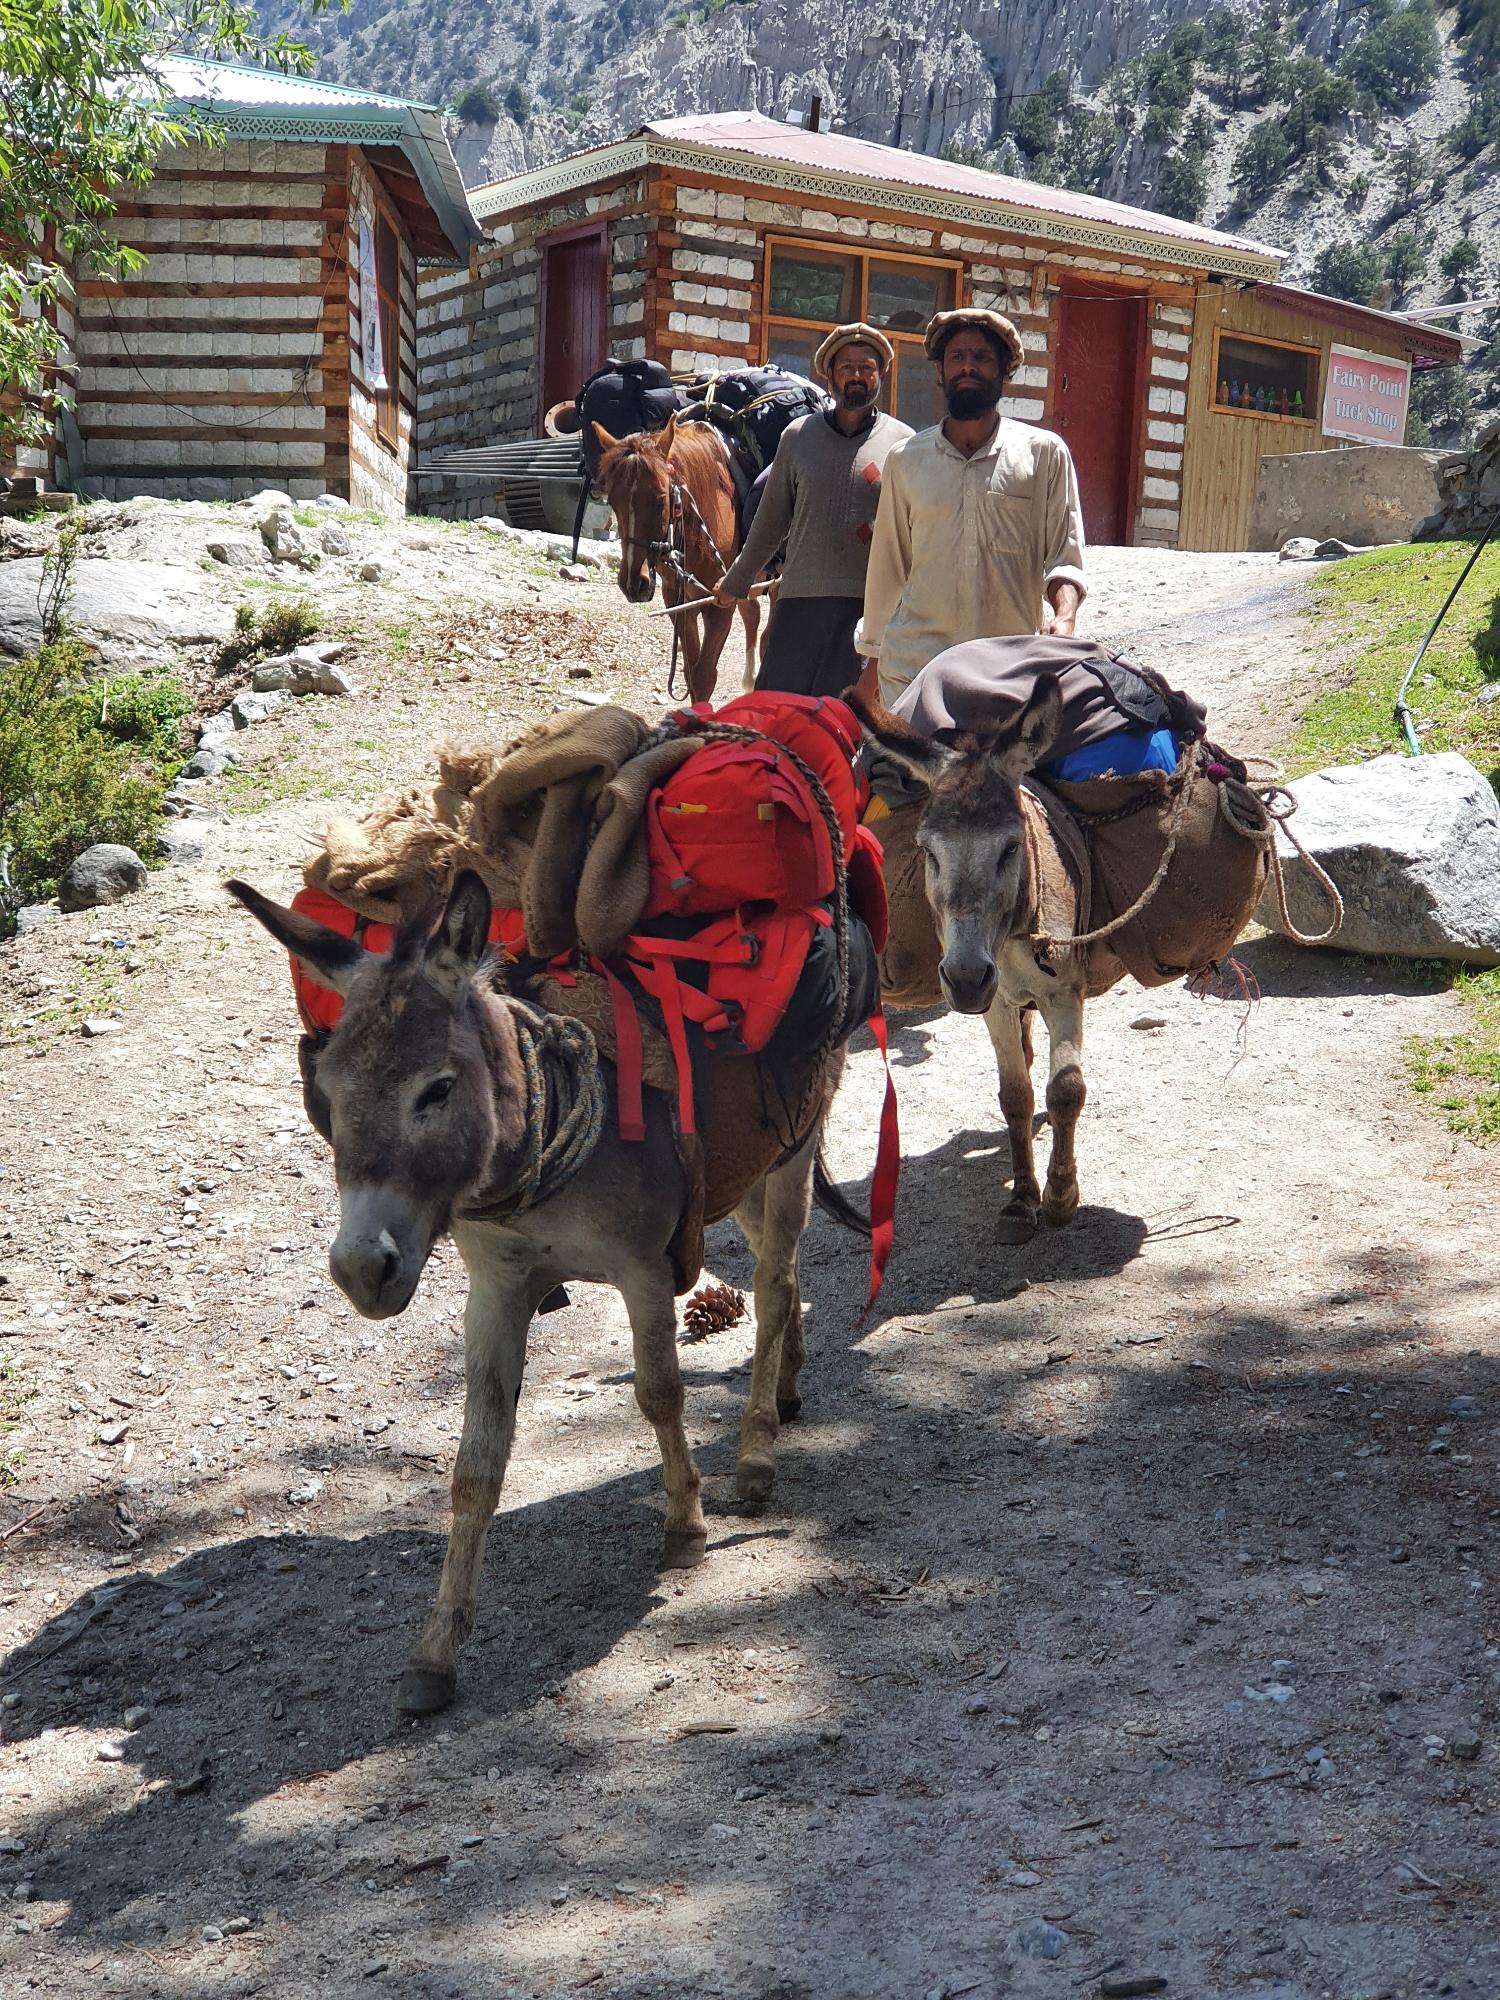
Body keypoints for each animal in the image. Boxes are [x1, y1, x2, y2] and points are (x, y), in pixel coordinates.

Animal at [592, 410, 764, 708]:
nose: (633, 583)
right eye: (613, 501)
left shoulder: (721, 602)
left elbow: (705, 676)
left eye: (660, 499)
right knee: (753, 614)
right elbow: (691, 673)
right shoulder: (679, 600)